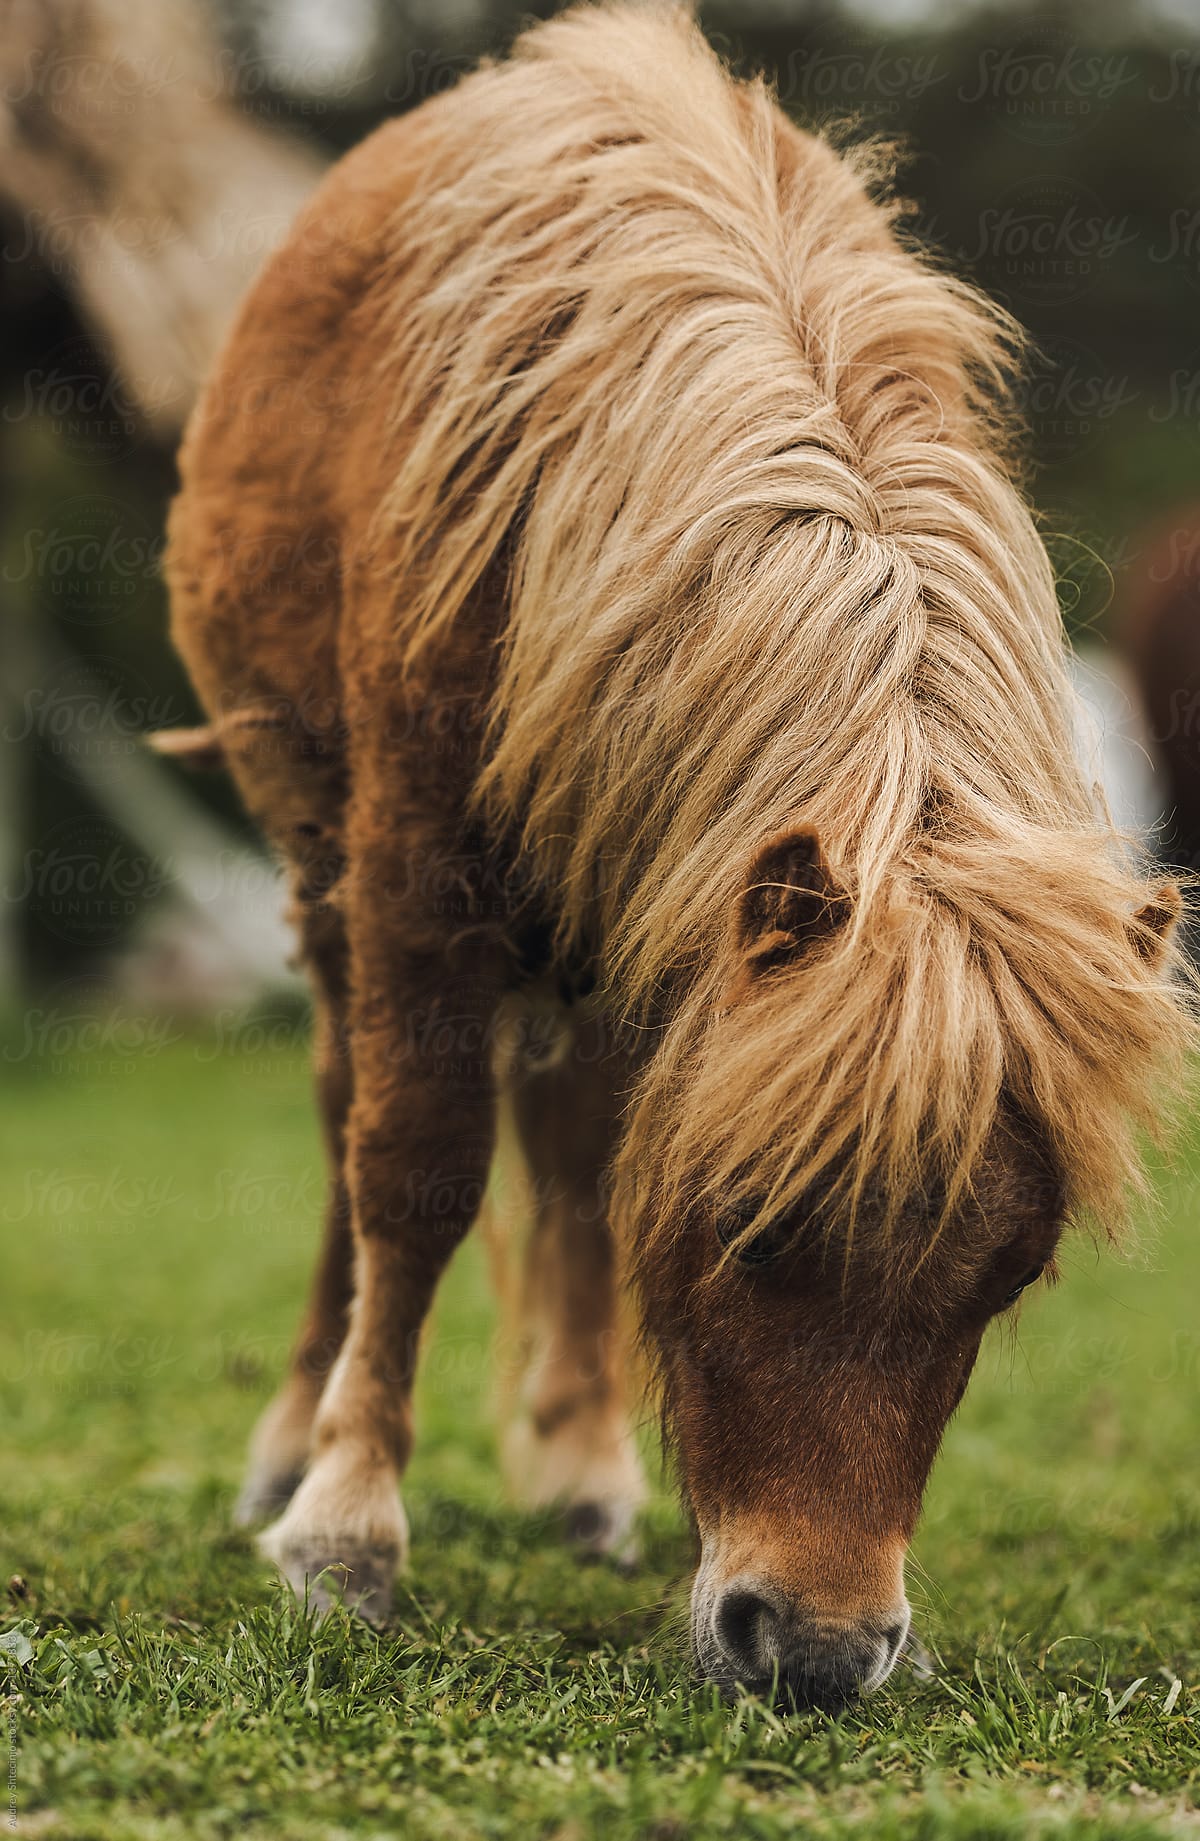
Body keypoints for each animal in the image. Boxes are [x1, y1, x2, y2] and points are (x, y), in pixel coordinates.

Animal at [162, 2, 1189, 1709]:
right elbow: (411, 1173)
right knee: (342, 1114)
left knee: (582, 1148)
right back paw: (289, 1439)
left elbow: (591, 1168)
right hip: (322, 862)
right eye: (758, 1227)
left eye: (1007, 1278)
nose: (822, 1652)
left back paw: (584, 1474)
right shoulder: (409, 872)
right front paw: (344, 1531)